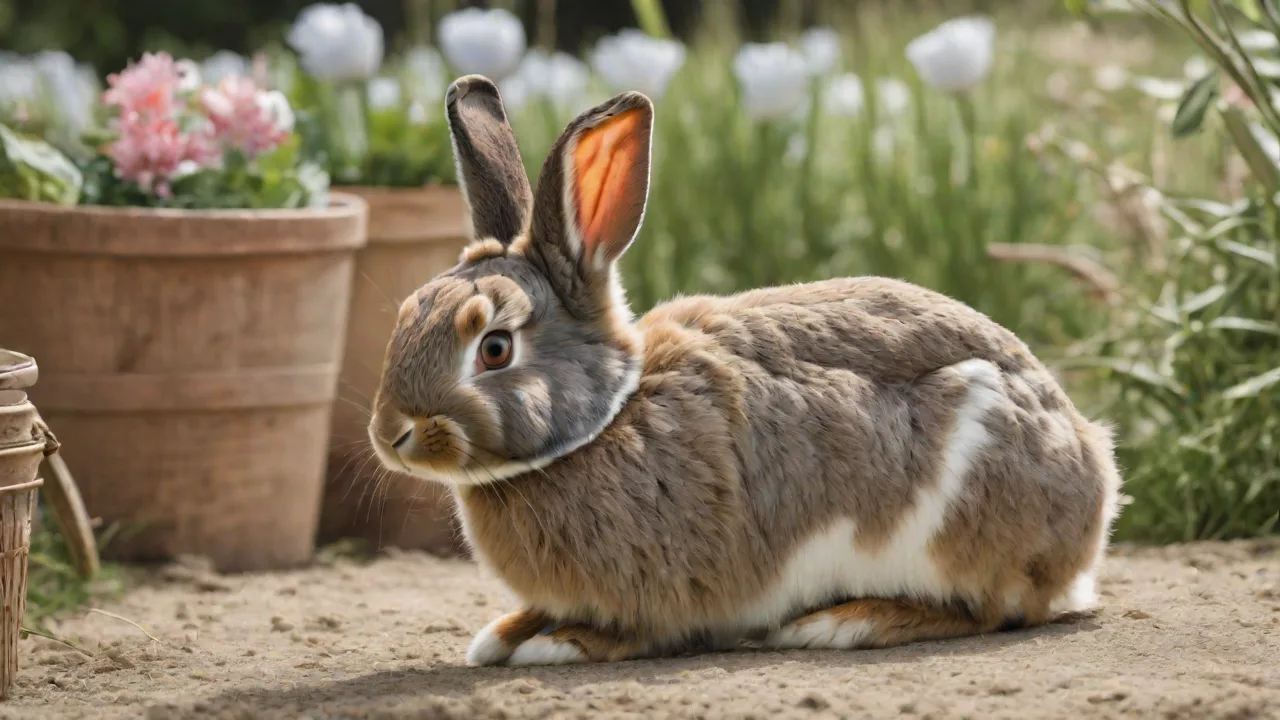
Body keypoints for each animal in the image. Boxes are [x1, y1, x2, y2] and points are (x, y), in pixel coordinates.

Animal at [366, 74, 1124, 667]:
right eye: (405, 313)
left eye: (494, 348)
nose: (390, 435)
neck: (607, 418)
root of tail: (1092, 491)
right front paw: (501, 634)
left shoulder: (671, 590)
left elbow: (641, 632)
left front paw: (559, 642)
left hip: (959, 515)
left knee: (988, 609)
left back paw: (843, 622)